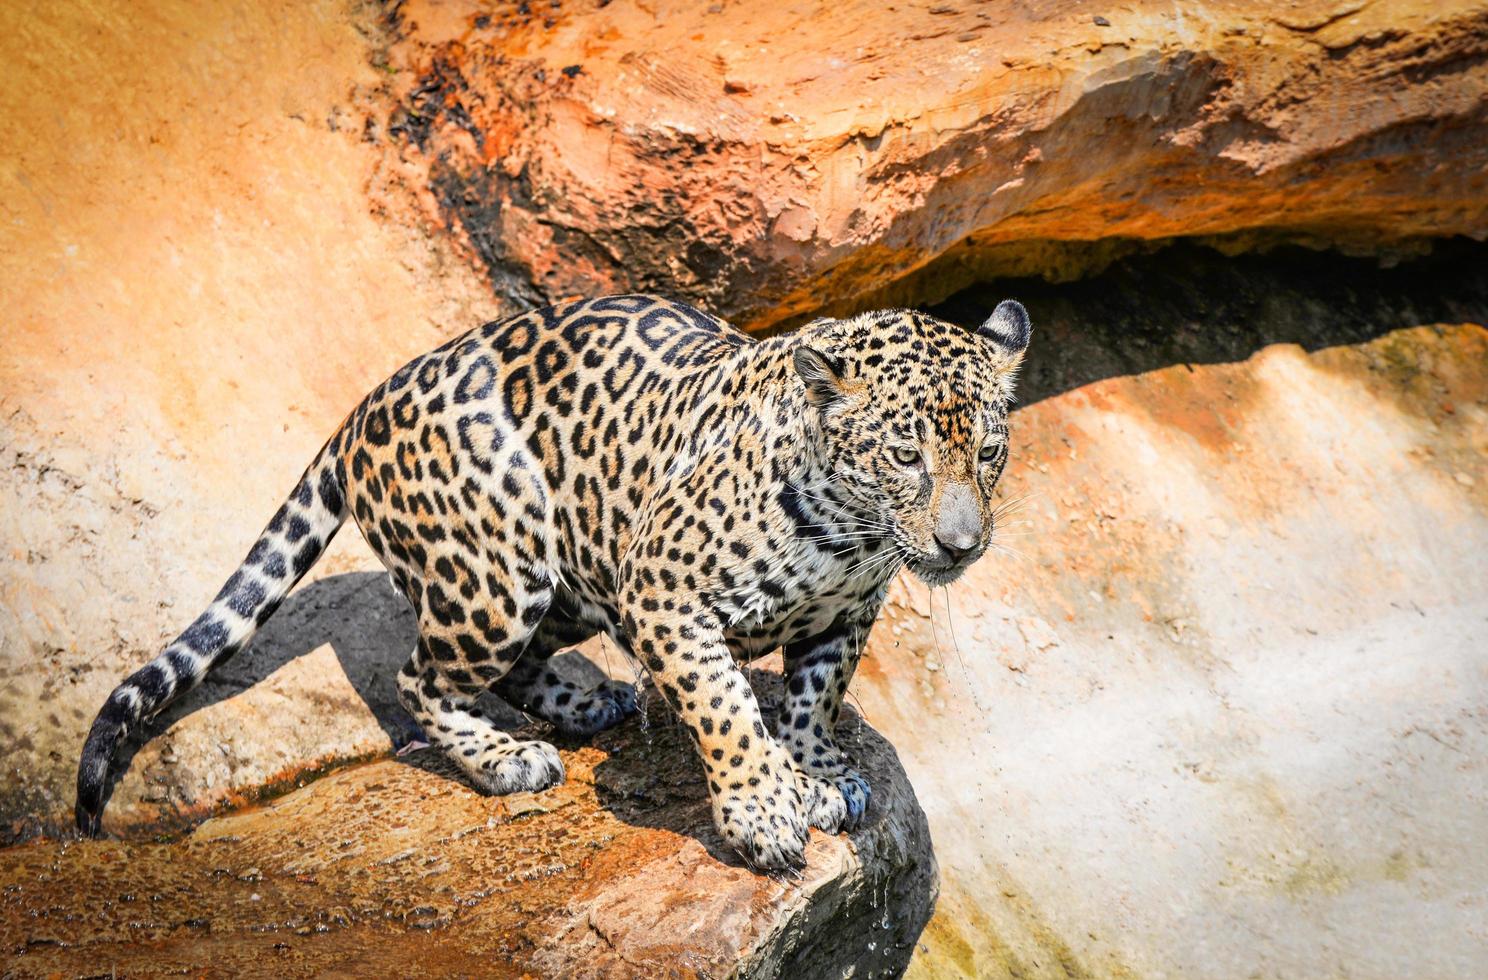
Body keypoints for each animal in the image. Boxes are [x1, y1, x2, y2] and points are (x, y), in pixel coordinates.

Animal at [76, 293, 1030, 870]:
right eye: (905, 456)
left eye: (988, 452)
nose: (960, 544)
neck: (848, 535)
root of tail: (356, 413)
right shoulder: (662, 590)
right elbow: (725, 703)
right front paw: (762, 806)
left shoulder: (846, 611)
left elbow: (815, 695)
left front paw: (821, 771)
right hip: (499, 573)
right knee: (418, 676)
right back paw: (506, 758)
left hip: (572, 579)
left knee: (520, 665)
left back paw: (588, 704)